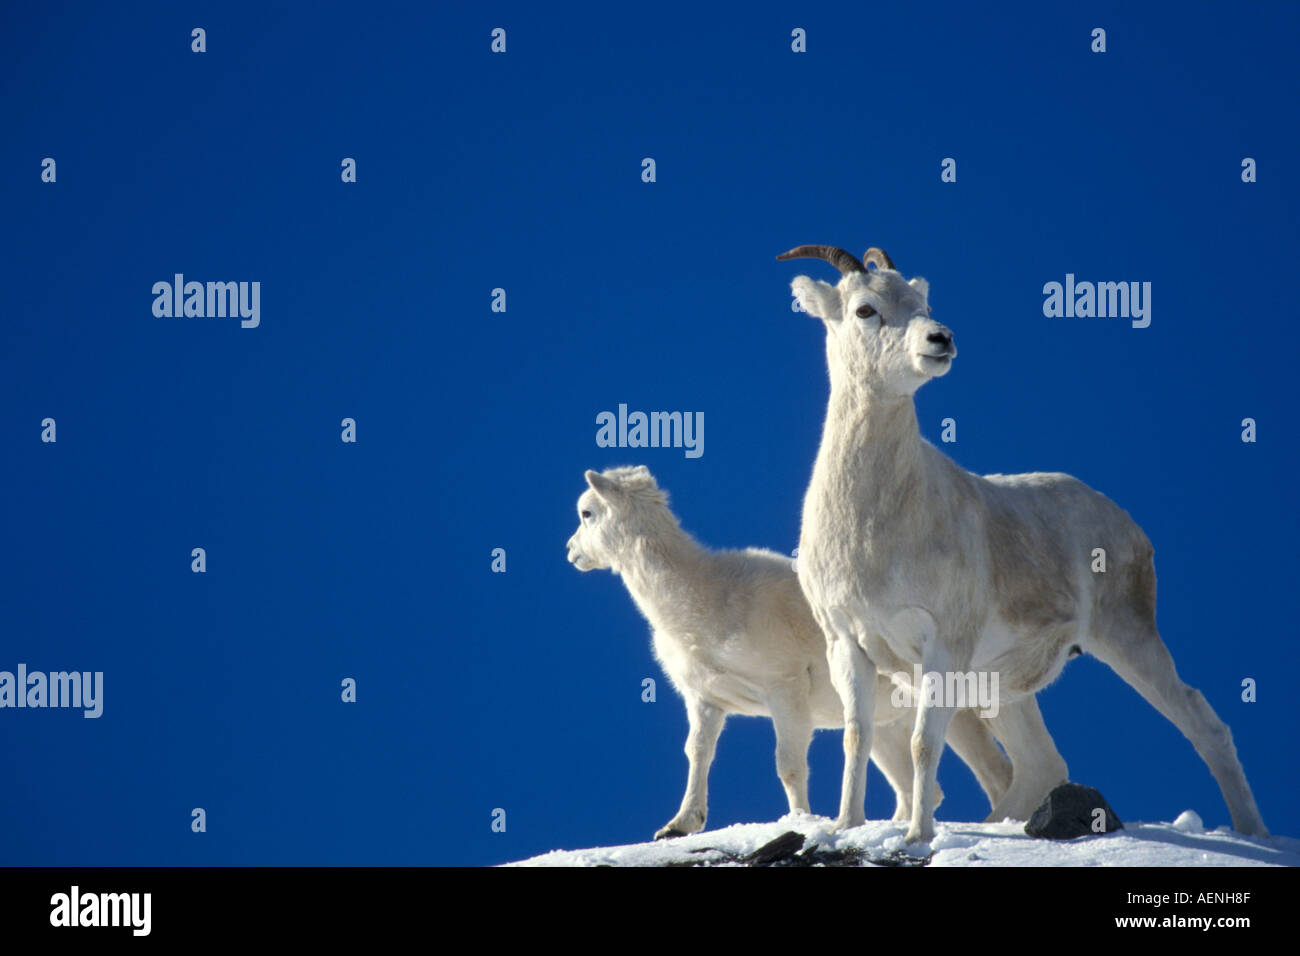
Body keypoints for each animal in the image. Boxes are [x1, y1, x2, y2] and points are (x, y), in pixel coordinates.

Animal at [565, 464, 1020, 839]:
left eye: (587, 512)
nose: (571, 551)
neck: (703, 599)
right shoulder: (707, 701)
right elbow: (697, 754)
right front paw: (679, 825)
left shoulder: (784, 692)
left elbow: (788, 765)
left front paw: (799, 820)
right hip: (887, 729)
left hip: (958, 711)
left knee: (998, 774)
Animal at [779, 243, 1269, 844]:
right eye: (865, 309)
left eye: (921, 303)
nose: (940, 339)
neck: (876, 528)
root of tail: (1125, 522)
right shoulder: (848, 645)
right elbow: (856, 738)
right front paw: (848, 826)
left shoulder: (944, 646)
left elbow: (922, 744)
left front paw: (917, 837)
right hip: (1007, 690)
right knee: (1041, 766)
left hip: (1126, 640)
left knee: (1204, 725)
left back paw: (1254, 835)